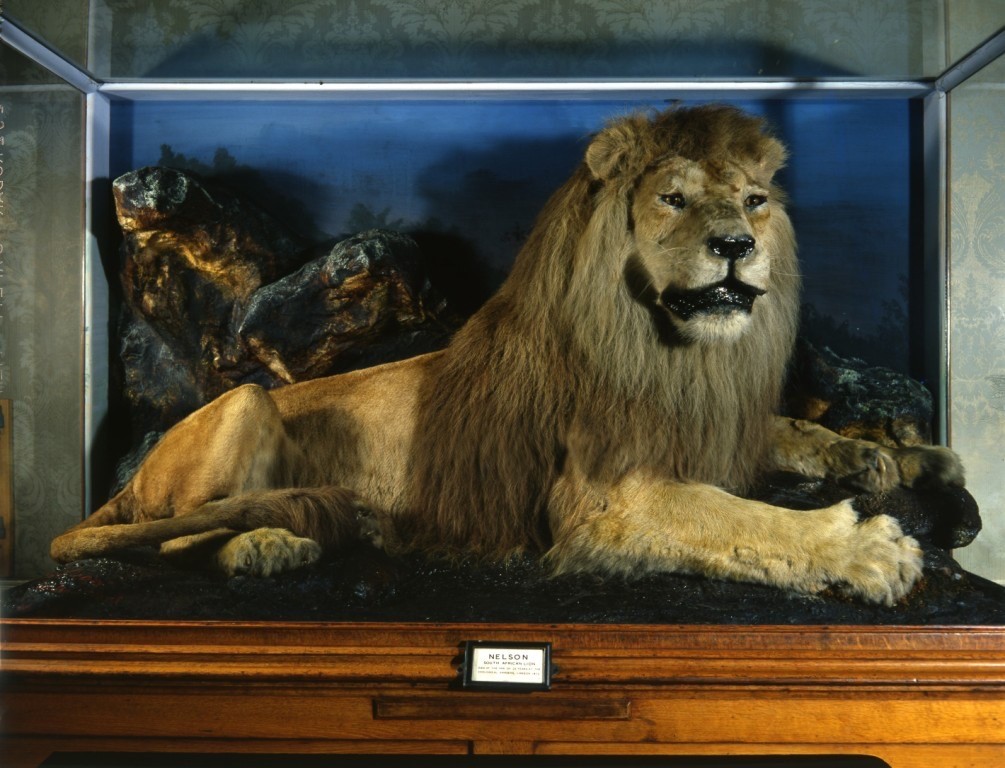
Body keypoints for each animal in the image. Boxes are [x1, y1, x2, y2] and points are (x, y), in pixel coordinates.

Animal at [52, 105, 964, 606]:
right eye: (672, 198)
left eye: (753, 201)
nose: (738, 245)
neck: (671, 350)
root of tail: (130, 480)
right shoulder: (605, 502)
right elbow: (738, 519)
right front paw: (864, 549)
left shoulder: (711, 420)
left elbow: (786, 431)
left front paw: (888, 456)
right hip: (243, 404)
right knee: (172, 540)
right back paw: (268, 545)